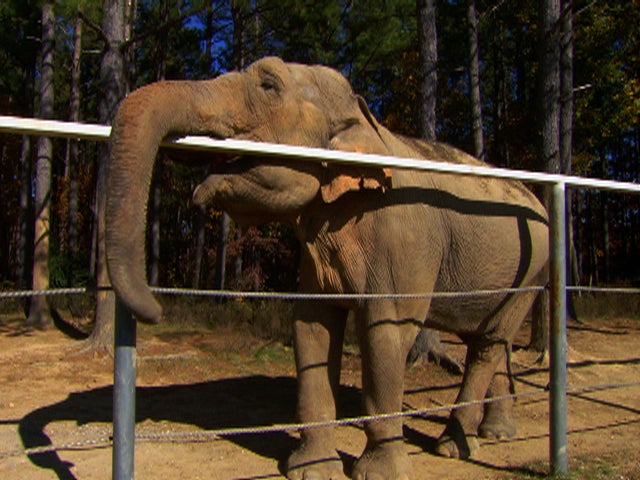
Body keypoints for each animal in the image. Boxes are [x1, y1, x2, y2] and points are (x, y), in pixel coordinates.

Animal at [105, 57, 549, 480]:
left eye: (268, 84)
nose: (155, 312)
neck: (366, 121)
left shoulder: (406, 241)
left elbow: (386, 333)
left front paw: (379, 473)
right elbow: (311, 327)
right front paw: (312, 470)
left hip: (529, 277)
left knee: (488, 344)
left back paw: (453, 446)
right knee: (491, 343)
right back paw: (495, 432)